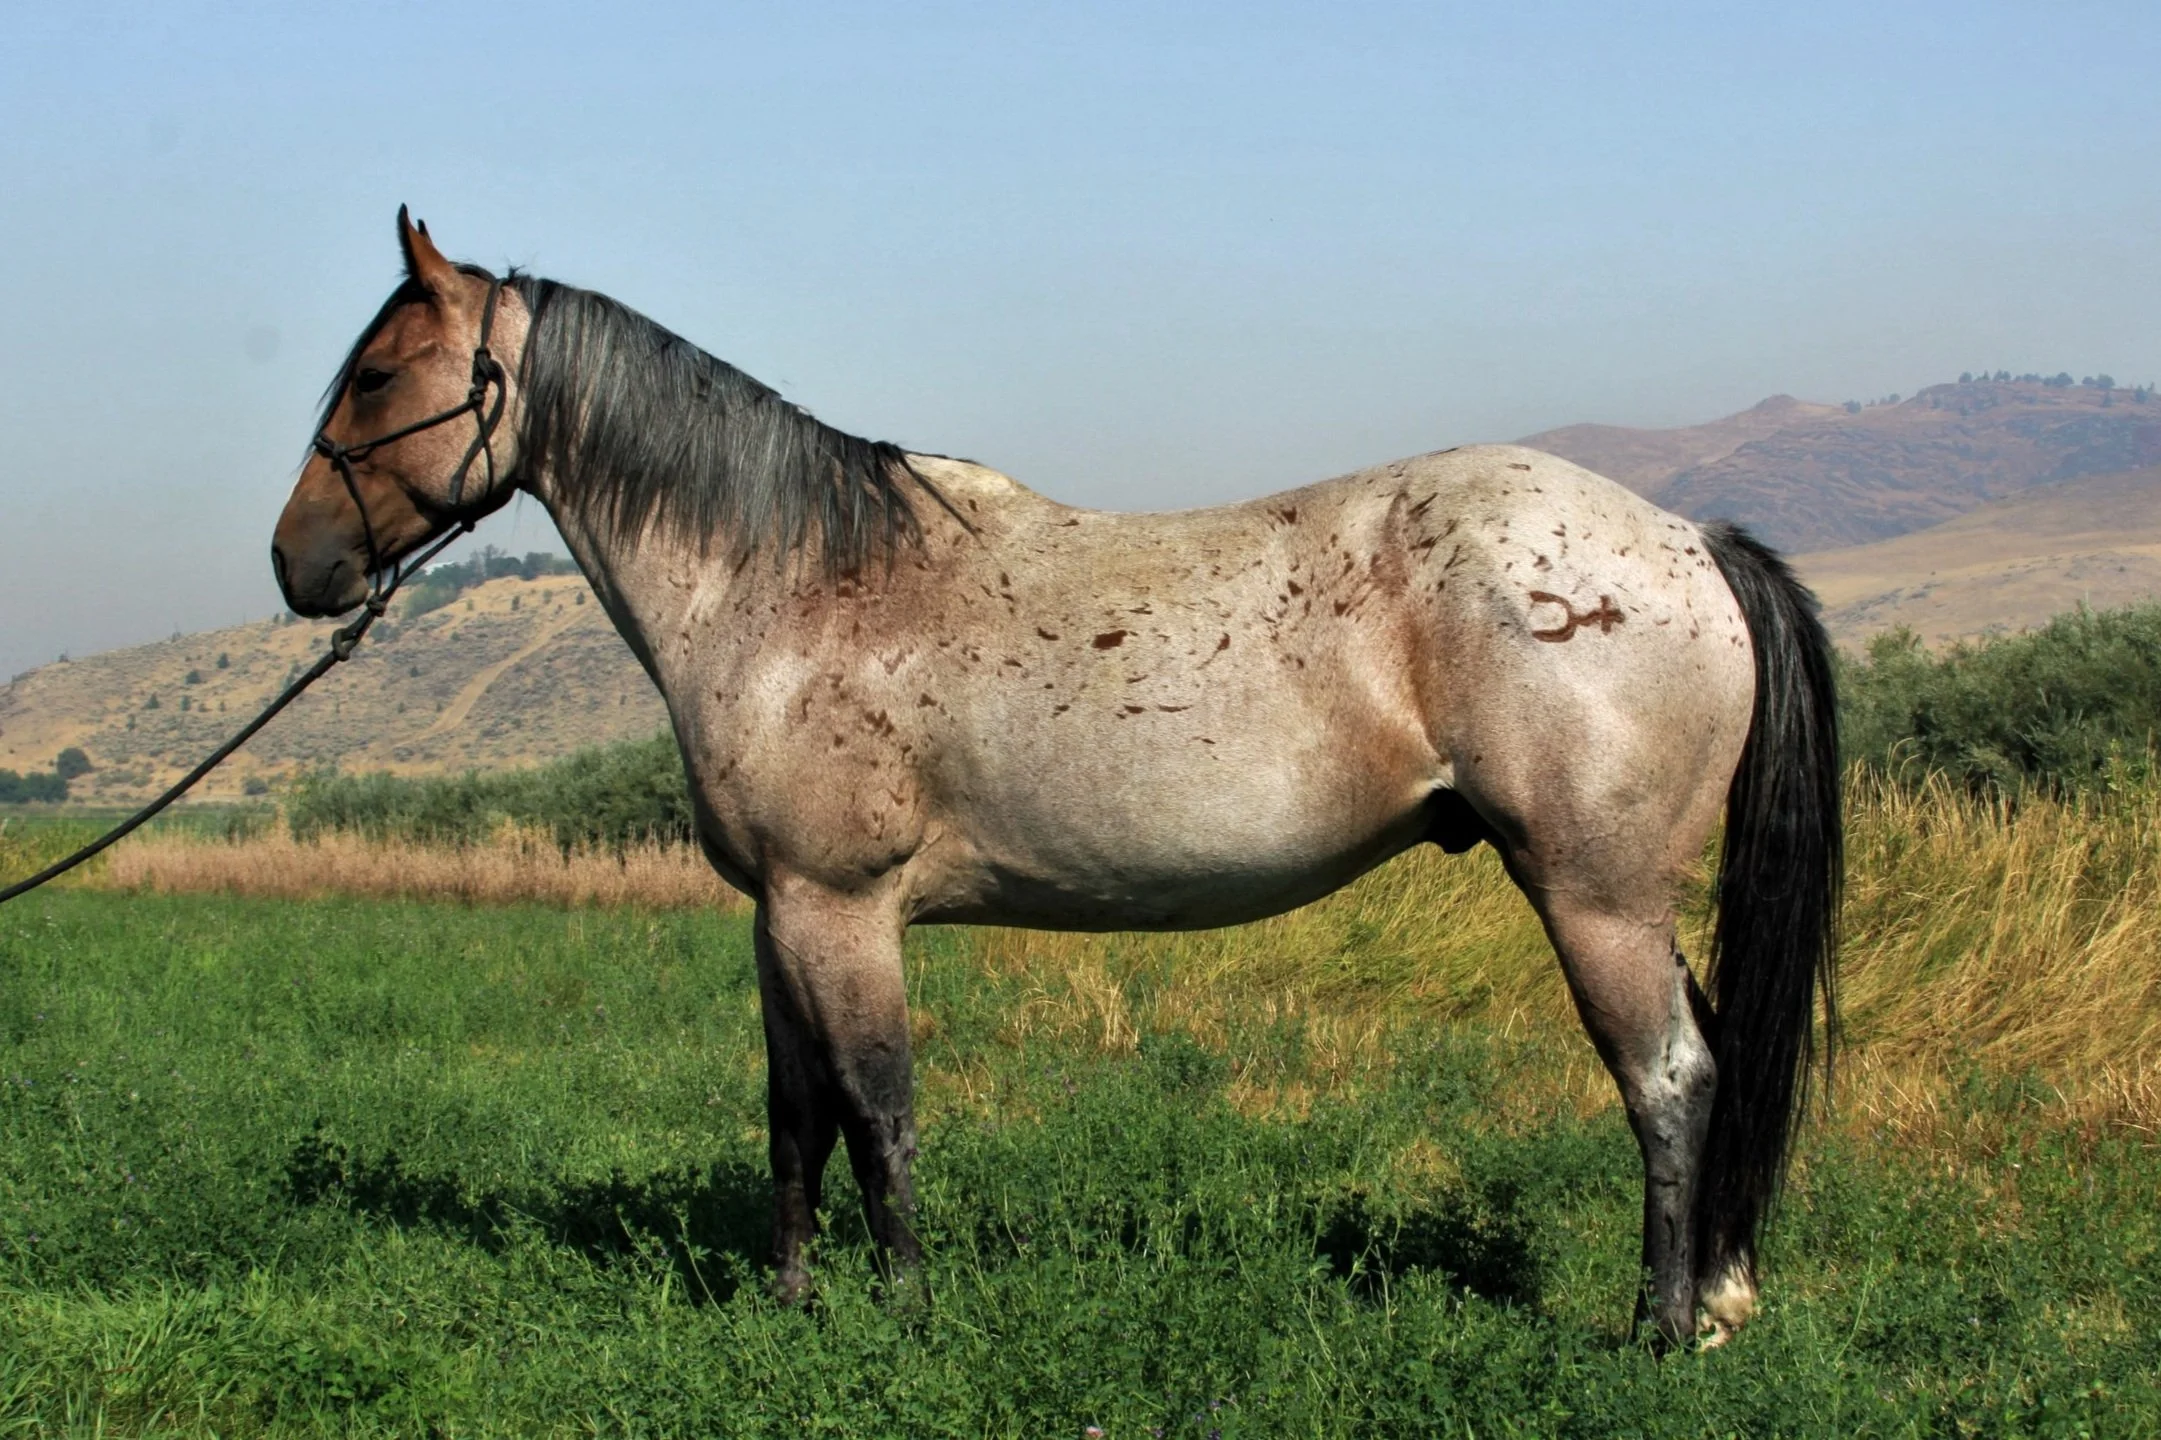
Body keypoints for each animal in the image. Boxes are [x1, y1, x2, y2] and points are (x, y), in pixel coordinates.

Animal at [272, 210, 1839, 1347]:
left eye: (376, 375)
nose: (298, 565)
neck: (797, 584)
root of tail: (1689, 543)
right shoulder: (779, 913)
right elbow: (792, 1117)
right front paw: (790, 1305)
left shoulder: (842, 911)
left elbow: (877, 1107)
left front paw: (904, 1317)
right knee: (1710, 1064)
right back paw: (1720, 1300)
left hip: (1592, 894)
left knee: (1670, 1077)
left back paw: (1658, 1327)